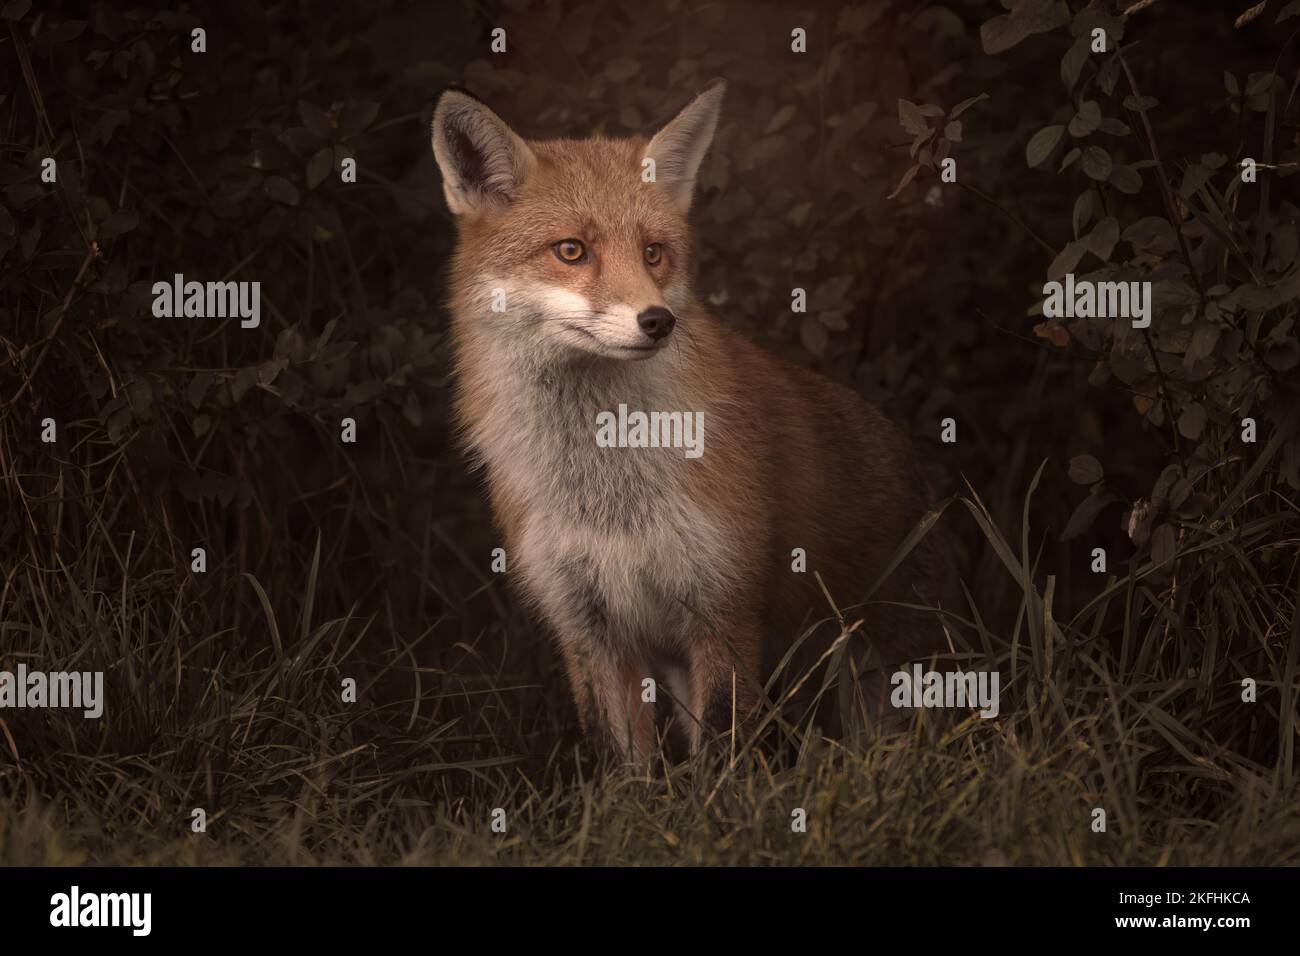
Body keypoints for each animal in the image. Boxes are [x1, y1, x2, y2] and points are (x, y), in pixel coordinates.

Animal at [431, 79, 952, 762]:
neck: (609, 488)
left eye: (654, 253)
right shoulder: (588, 626)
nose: (658, 321)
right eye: (571, 250)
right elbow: (625, 766)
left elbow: (724, 754)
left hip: (888, 665)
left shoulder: (723, 605)